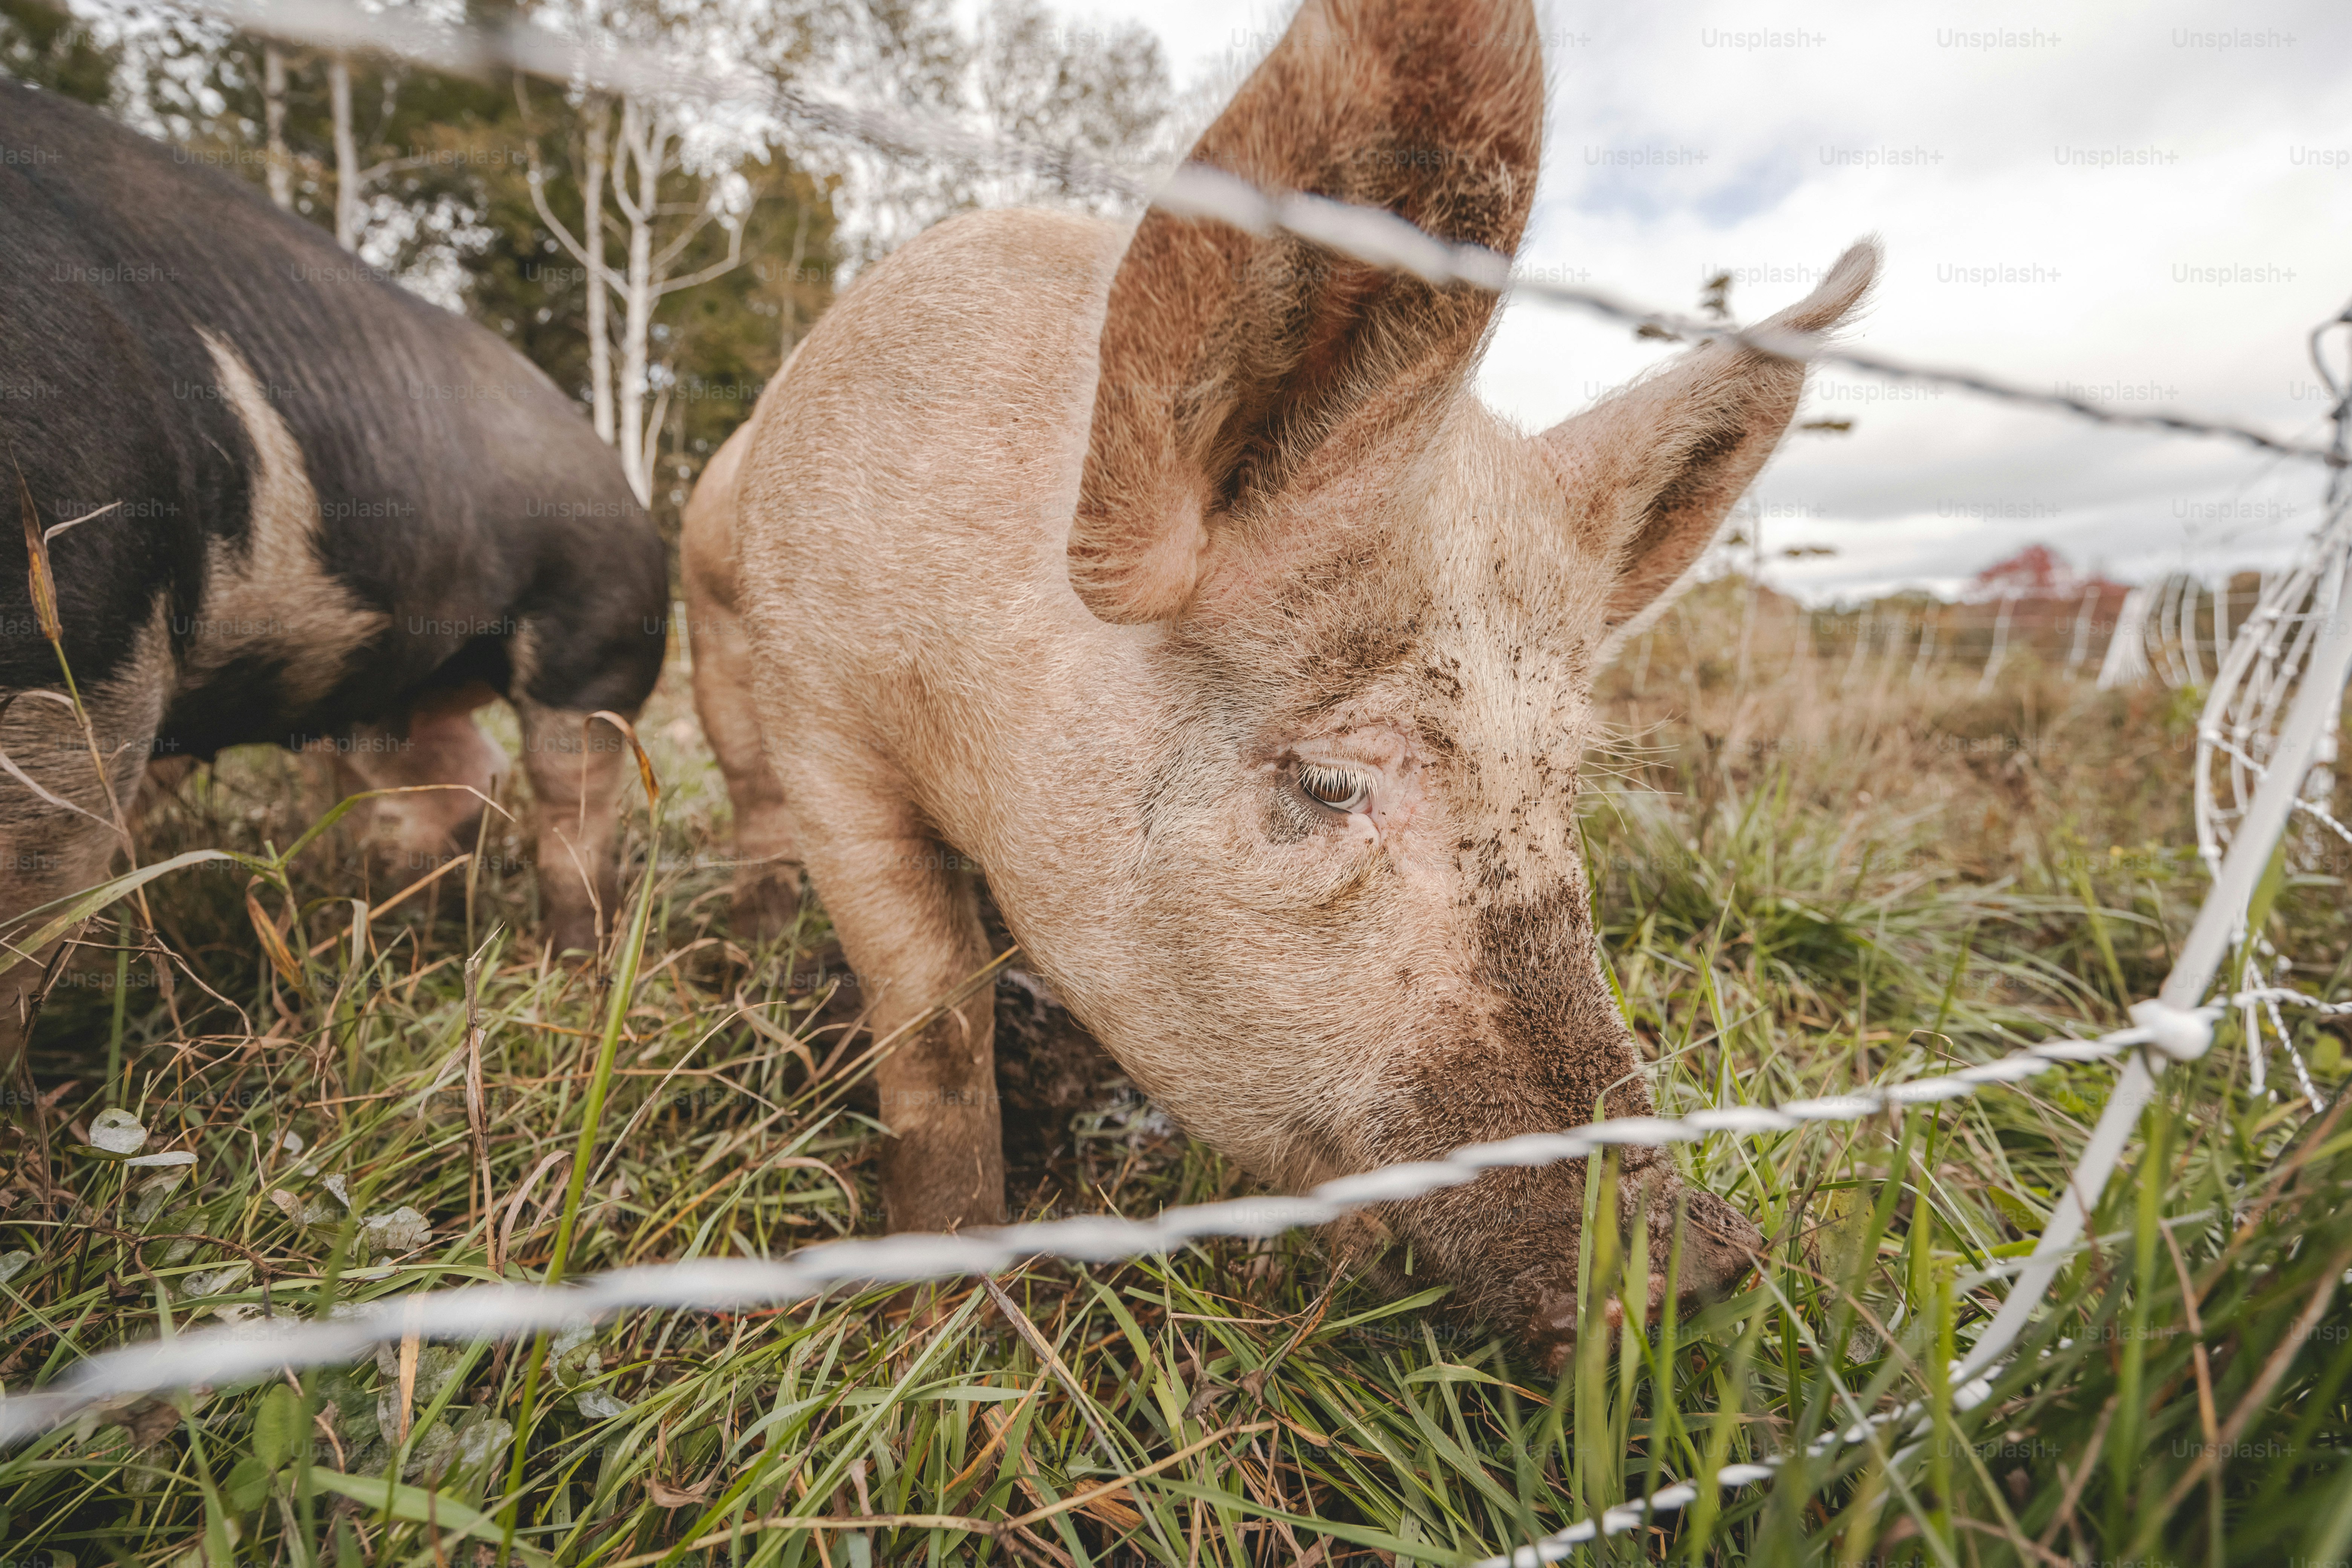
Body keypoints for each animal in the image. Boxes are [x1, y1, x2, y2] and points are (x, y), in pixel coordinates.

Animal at [690, 0, 1875, 1359]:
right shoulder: (819, 705)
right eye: (1329, 782)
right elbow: (934, 1008)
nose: (1707, 1264)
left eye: (1563, 781)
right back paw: (752, 937)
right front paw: (949, 1303)